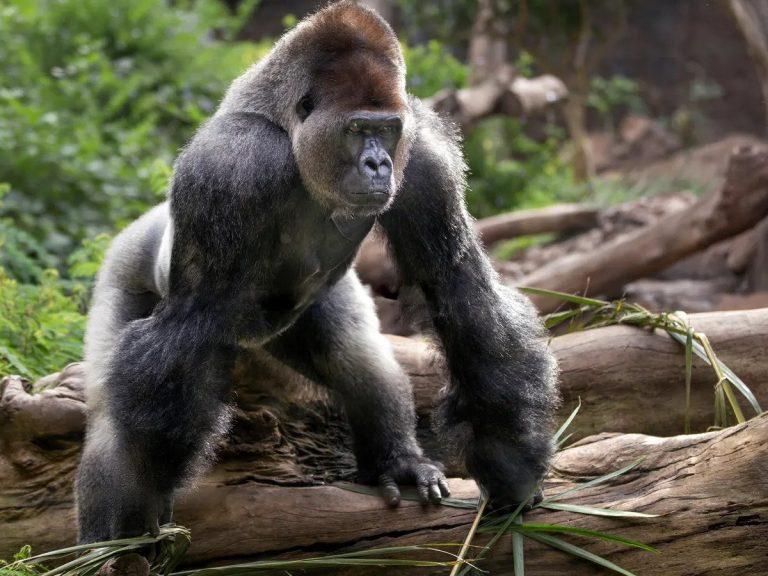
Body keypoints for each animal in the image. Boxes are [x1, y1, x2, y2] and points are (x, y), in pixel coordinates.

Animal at [74, 1, 559, 543]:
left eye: (386, 129)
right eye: (357, 129)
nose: (379, 164)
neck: (291, 134)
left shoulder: (423, 156)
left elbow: (458, 288)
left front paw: (509, 465)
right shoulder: (232, 166)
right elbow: (189, 323)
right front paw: (136, 507)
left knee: (354, 357)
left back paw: (394, 460)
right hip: (124, 263)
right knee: (111, 409)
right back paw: (104, 544)